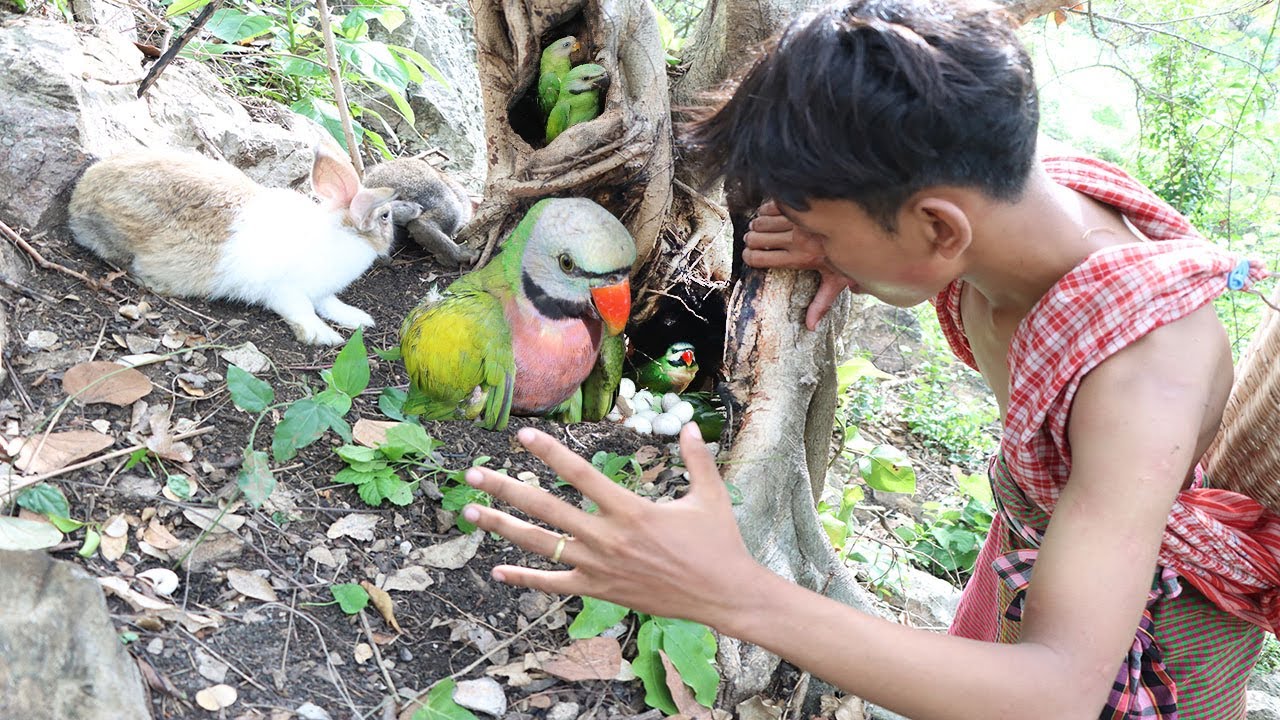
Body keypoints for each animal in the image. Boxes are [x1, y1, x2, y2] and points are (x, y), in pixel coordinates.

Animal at [68, 144, 399, 345]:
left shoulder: (322, 293)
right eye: (385, 216)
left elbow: (330, 304)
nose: (391, 241)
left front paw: (359, 319)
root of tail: (79, 197)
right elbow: (303, 311)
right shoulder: (287, 291)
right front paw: (324, 336)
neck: (341, 232)